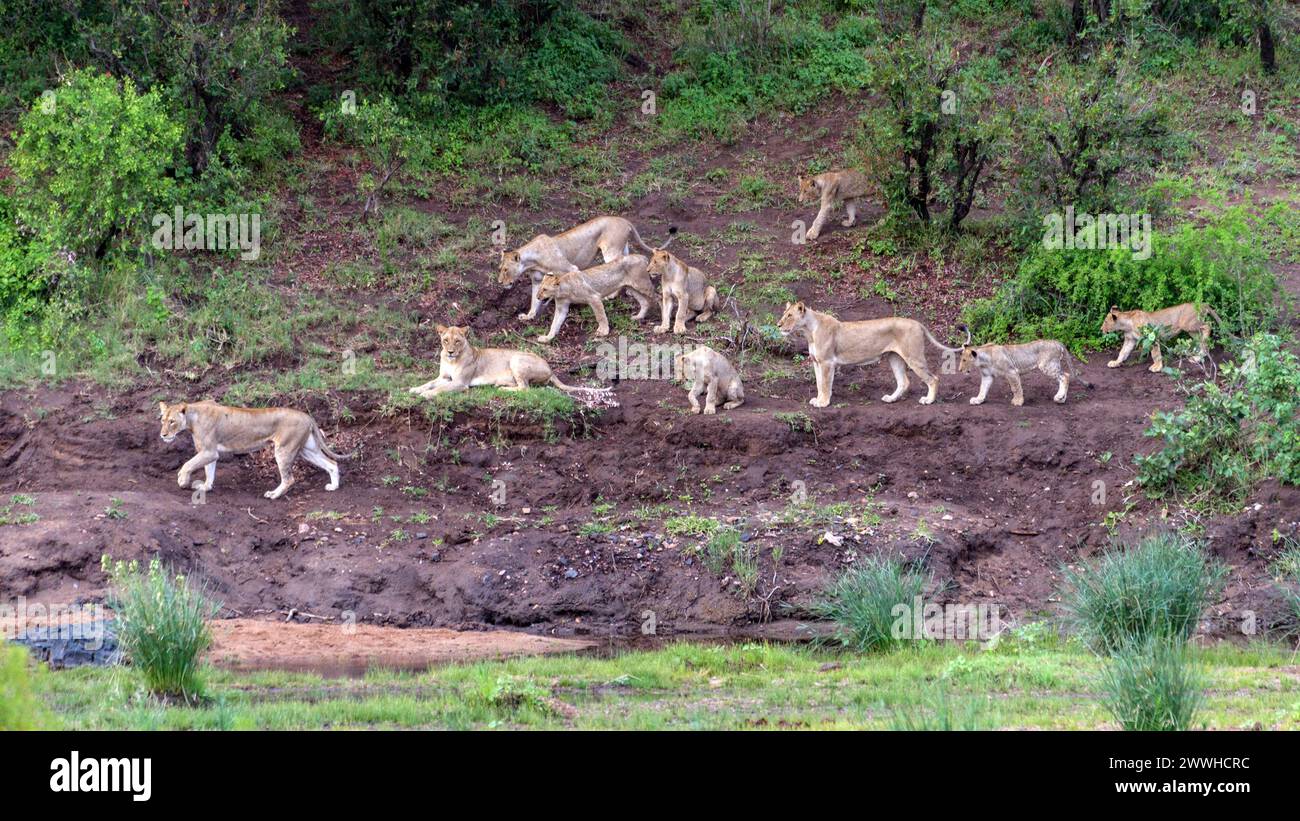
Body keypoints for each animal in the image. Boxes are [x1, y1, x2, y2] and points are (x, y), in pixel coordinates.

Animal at [158, 401, 352, 500]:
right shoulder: (211, 453)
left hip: (284, 449)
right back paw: (333, 486)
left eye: (172, 422)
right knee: (332, 463)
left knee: (289, 479)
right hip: (307, 449)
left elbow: (188, 464)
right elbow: (209, 472)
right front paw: (206, 487)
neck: (192, 418)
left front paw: (182, 480)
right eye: (162, 420)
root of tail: (307, 416)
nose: (163, 434)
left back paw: (273, 495)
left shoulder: (208, 451)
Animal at [409, 325, 614, 406]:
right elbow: (430, 383)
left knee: (525, 388)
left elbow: (440, 389)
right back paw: (501, 384)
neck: (452, 360)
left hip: (516, 358)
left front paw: (426, 395)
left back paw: (502, 389)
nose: (450, 351)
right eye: (445, 340)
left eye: (458, 341)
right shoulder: (444, 377)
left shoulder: (461, 383)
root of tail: (550, 368)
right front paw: (415, 389)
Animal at [498, 216, 656, 321]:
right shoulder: (537, 280)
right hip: (623, 249)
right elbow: (534, 300)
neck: (531, 261)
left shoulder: (571, 268)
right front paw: (529, 316)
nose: (499, 282)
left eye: (505, 269)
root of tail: (624, 220)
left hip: (610, 251)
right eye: (500, 268)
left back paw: (610, 295)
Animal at [777, 301, 957, 407]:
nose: (778, 325)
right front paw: (818, 399)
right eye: (783, 314)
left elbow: (826, 384)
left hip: (914, 357)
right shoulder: (816, 362)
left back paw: (928, 400)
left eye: (789, 315)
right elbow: (819, 383)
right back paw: (891, 399)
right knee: (904, 381)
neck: (808, 332)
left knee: (933, 379)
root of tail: (917, 323)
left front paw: (823, 403)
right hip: (894, 358)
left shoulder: (827, 362)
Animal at [958, 339, 1090, 406]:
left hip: (1047, 365)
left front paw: (1018, 402)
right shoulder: (987, 376)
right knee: (1064, 376)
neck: (983, 361)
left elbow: (1016, 388)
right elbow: (982, 389)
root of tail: (1056, 341)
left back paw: (1059, 397)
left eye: (964, 360)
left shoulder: (1011, 372)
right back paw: (1061, 399)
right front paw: (978, 400)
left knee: (1065, 376)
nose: (959, 370)